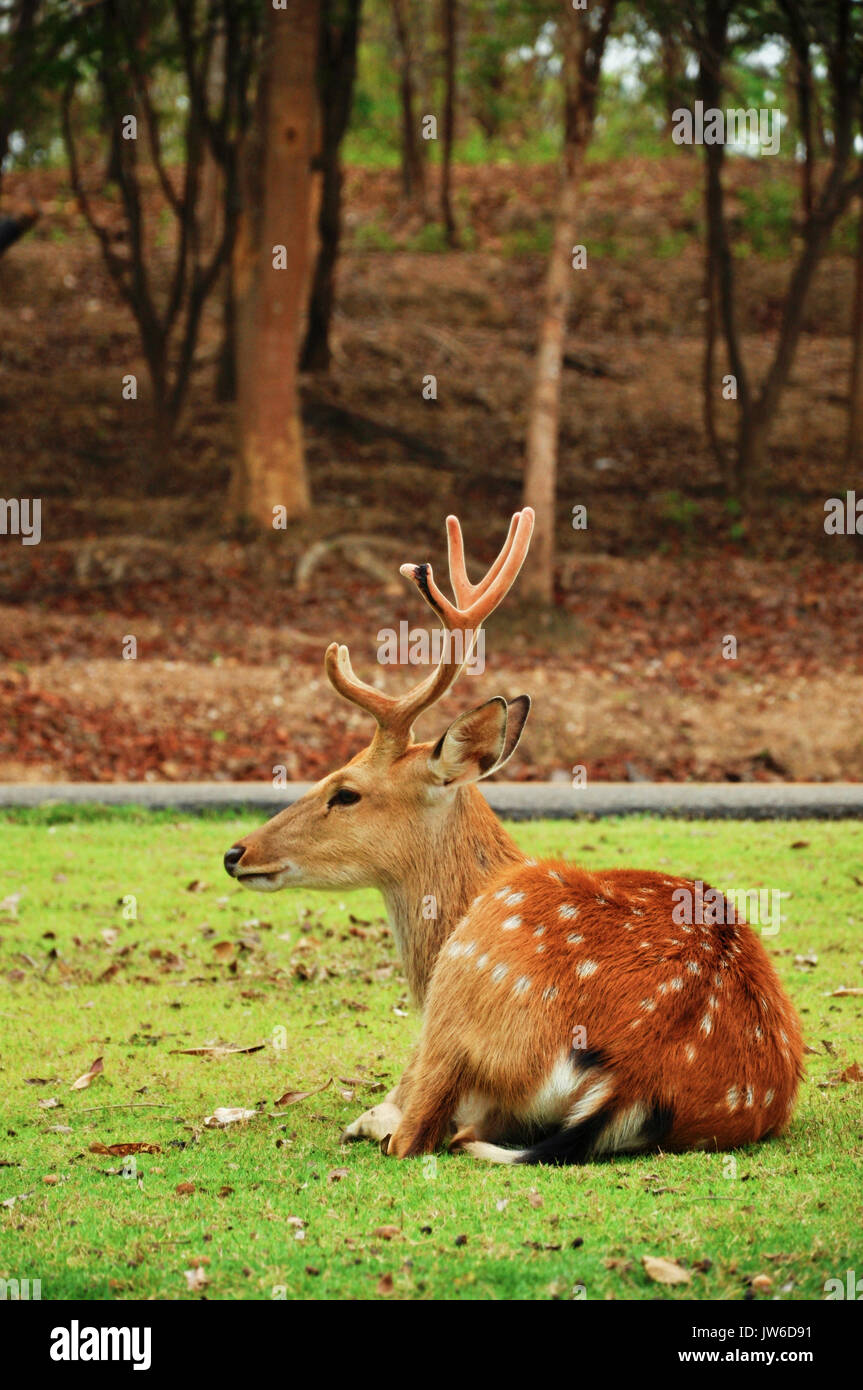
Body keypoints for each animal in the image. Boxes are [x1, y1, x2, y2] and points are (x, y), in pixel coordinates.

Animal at [223, 508, 804, 1165]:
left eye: (345, 791)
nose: (237, 853)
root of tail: (639, 1075)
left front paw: (358, 1118)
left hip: (463, 1001)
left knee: (419, 1135)